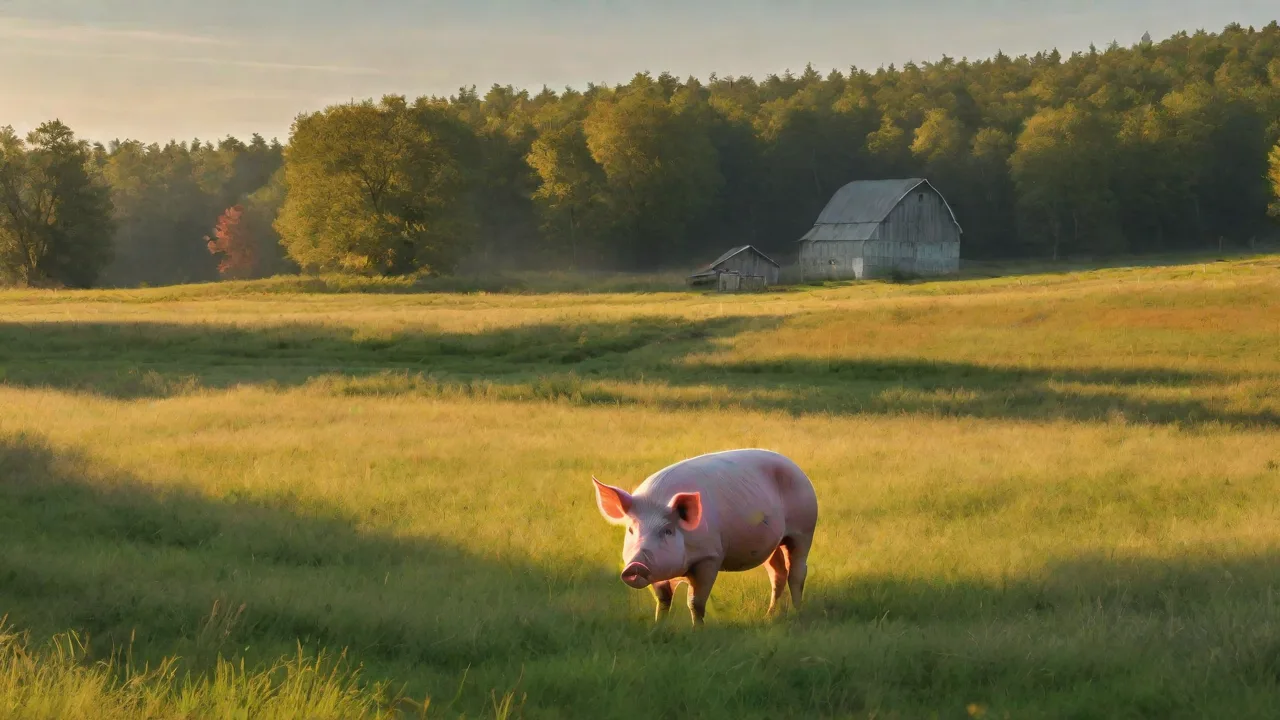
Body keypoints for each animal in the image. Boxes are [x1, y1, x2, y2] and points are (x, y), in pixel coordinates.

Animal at [592, 448, 818, 626]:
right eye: (631, 530)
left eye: (667, 530)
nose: (635, 565)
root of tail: (796, 467)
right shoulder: (658, 571)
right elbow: (663, 600)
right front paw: (659, 626)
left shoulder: (710, 557)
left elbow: (695, 602)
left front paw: (697, 631)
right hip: (772, 544)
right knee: (777, 574)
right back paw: (769, 616)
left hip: (804, 529)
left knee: (797, 572)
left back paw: (797, 613)